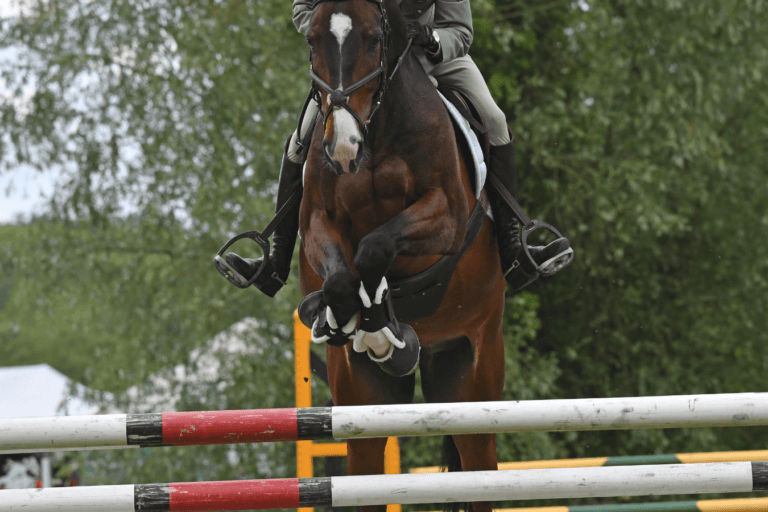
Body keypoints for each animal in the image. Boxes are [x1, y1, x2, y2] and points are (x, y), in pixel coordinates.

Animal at [298, 0, 505, 511]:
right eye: (311, 40)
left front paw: (378, 328)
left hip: (474, 373)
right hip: (361, 397)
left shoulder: (445, 216)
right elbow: (342, 277)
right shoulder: (317, 225)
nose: (342, 148)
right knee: (366, 467)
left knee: (479, 465)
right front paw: (354, 321)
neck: (376, 133)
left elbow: (376, 247)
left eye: (375, 39)